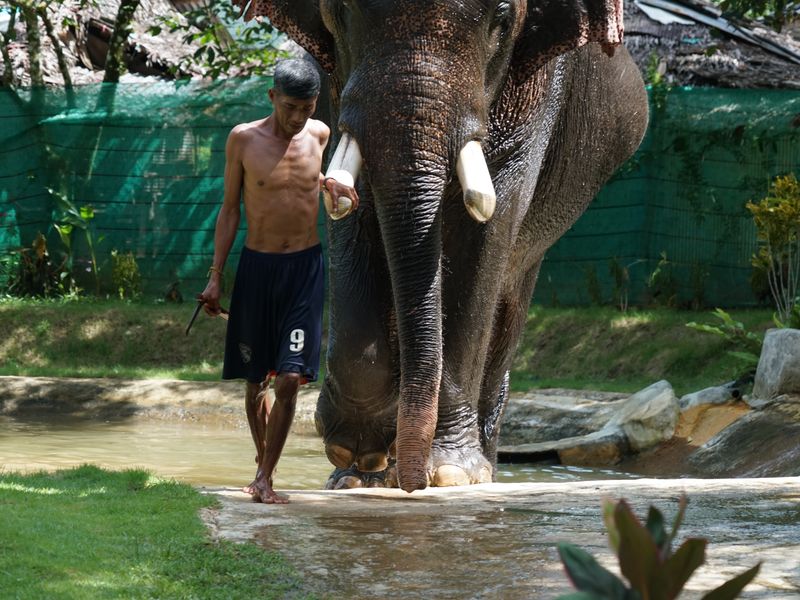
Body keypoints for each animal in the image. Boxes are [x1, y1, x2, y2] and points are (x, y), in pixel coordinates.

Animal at [235, 0, 649, 492]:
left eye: (501, 19)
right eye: (340, 11)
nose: (416, 482)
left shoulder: (539, 90)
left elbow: (485, 224)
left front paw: (450, 472)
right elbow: (354, 204)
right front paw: (355, 450)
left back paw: (466, 471)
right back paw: (365, 476)